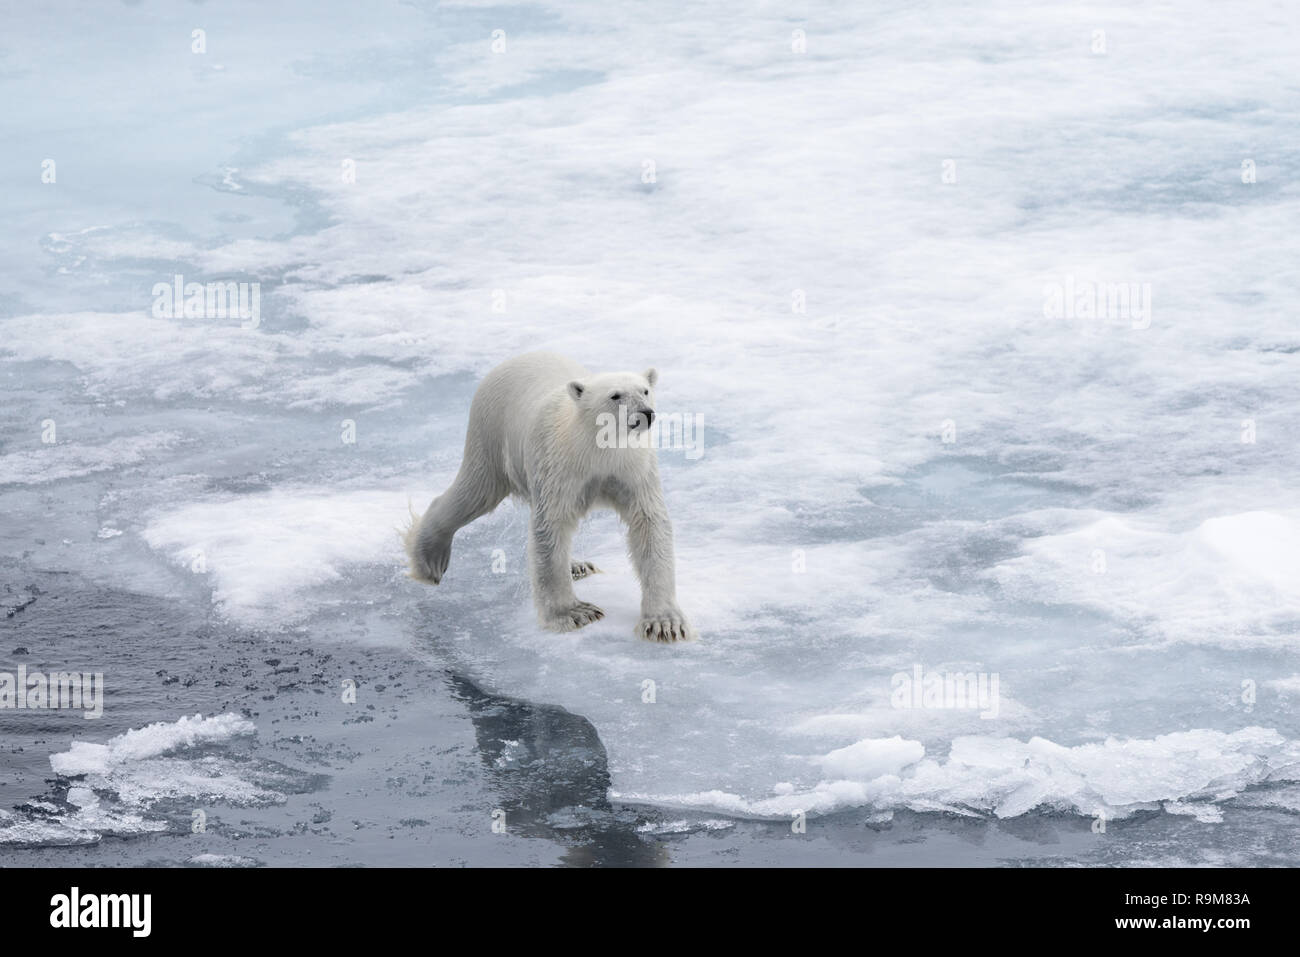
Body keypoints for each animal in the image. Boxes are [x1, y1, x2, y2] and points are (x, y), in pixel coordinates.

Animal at [404, 351, 695, 642]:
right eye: (615, 395)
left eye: (645, 390)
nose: (646, 414)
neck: (595, 448)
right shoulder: (558, 465)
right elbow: (551, 528)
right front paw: (575, 613)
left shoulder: (632, 467)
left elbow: (648, 522)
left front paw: (664, 623)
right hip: (490, 433)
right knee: (475, 492)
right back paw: (429, 560)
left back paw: (577, 566)